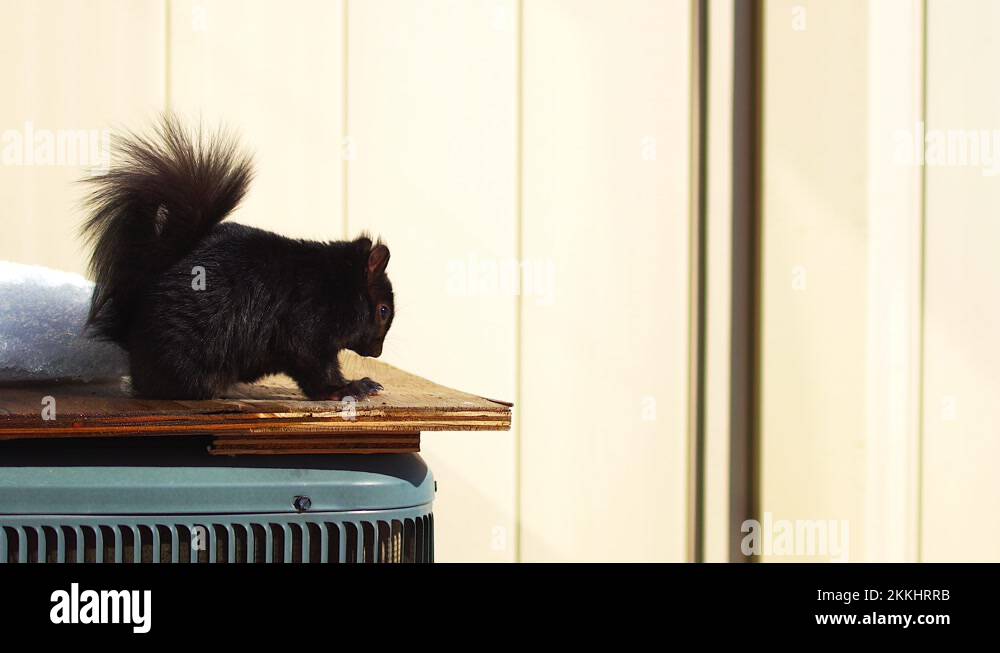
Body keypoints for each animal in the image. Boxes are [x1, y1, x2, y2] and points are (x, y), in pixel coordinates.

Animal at [80, 115, 394, 400]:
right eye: (383, 310)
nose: (376, 352)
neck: (337, 286)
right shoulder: (305, 326)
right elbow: (315, 367)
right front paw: (349, 388)